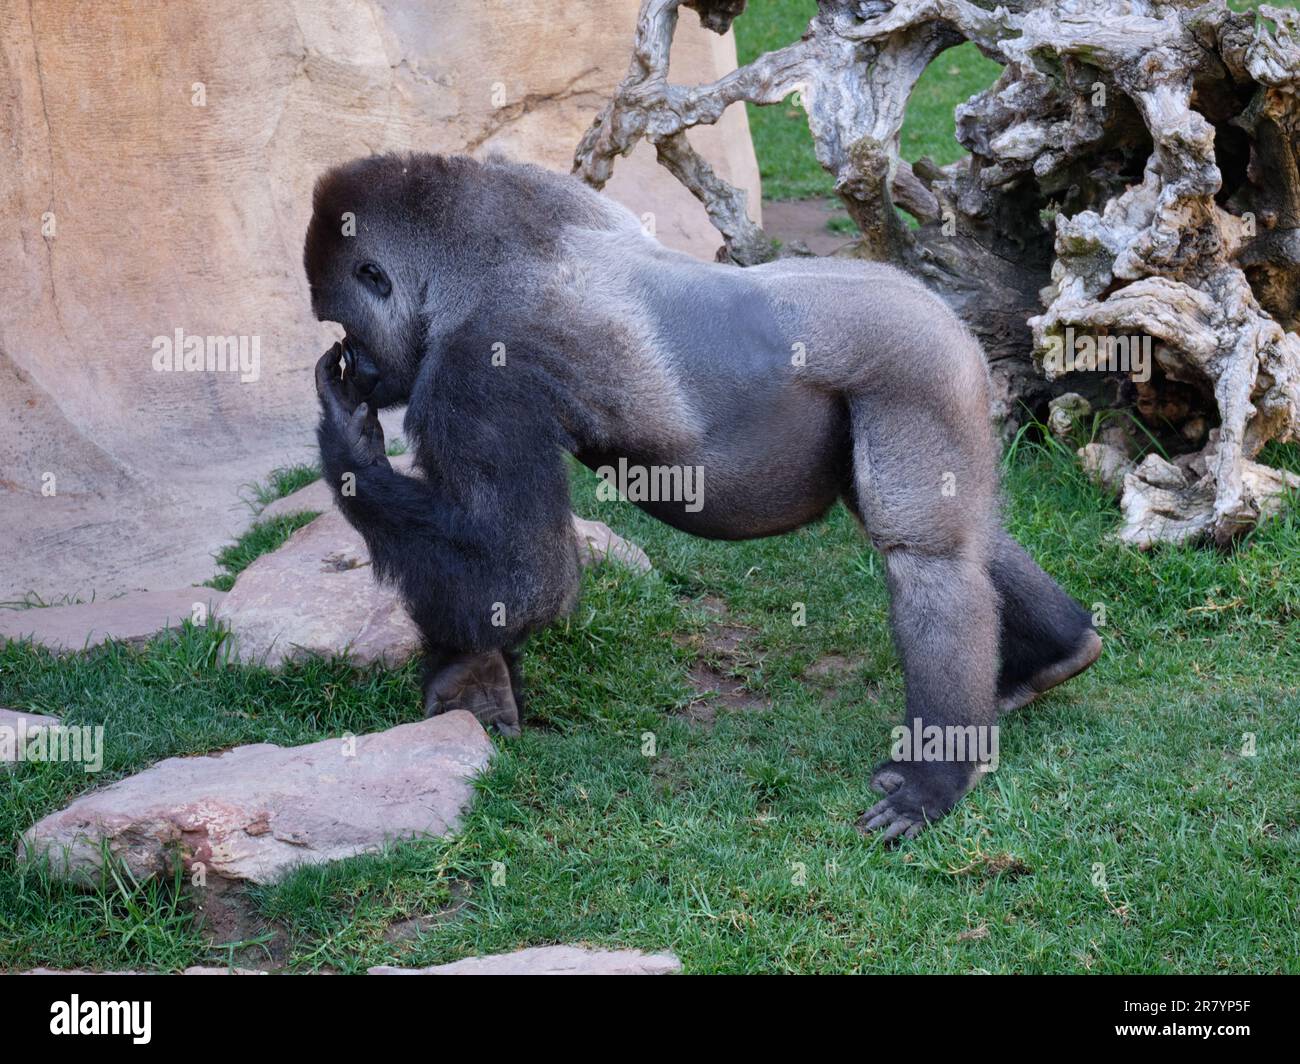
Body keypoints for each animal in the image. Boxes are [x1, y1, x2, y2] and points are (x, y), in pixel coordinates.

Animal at [304, 153, 1102, 839]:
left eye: (342, 319)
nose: (359, 367)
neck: (467, 265)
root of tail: (939, 305)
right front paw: (475, 673)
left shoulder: (477, 370)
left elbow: (519, 576)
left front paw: (349, 449)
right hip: (936, 374)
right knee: (962, 541)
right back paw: (1058, 655)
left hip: (914, 369)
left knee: (925, 556)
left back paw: (937, 777)